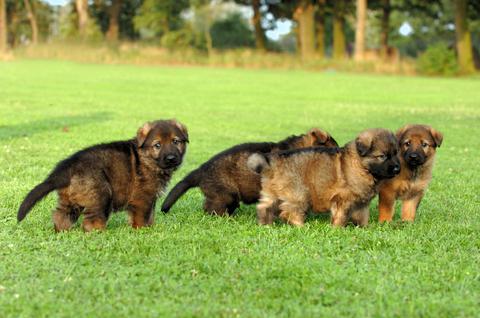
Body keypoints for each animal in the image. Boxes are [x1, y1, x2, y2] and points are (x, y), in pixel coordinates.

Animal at [15, 119, 188, 231]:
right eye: (157, 145)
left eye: (176, 141)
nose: (171, 158)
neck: (147, 158)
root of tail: (67, 166)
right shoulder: (143, 197)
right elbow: (142, 216)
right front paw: (143, 230)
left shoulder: (150, 198)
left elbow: (150, 214)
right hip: (101, 194)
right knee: (90, 221)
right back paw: (101, 233)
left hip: (70, 198)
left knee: (61, 215)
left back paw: (61, 231)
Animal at [249, 128, 400, 227]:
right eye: (382, 156)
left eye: (395, 154)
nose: (397, 169)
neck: (361, 166)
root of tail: (271, 164)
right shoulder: (342, 199)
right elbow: (341, 215)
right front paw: (338, 228)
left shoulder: (362, 203)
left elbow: (362, 216)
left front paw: (363, 228)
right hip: (299, 194)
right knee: (289, 212)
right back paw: (300, 226)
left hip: (272, 193)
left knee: (264, 207)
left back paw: (265, 224)